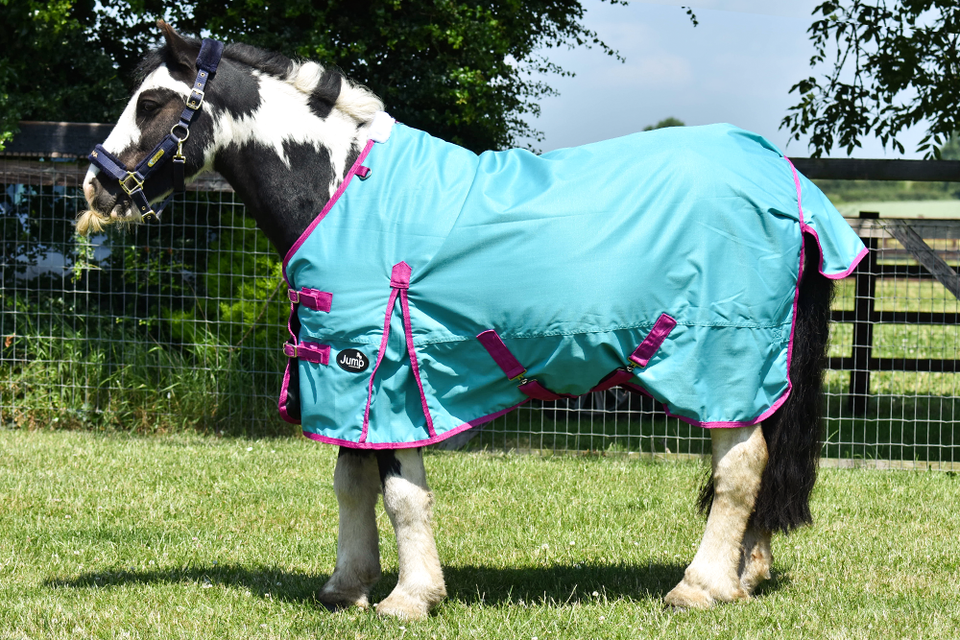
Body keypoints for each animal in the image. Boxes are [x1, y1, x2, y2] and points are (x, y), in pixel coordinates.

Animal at [79, 22, 866, 619]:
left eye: (153, 101)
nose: (95, 188)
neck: (344, 190)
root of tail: (786, 182)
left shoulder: (384, 370)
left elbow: (401, 493)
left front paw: (410, 597)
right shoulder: (344, 372)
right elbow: (350, 479)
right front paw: (347, 587)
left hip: (719, 364)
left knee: (740, 466)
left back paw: (700, 587)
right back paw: (745, 574)